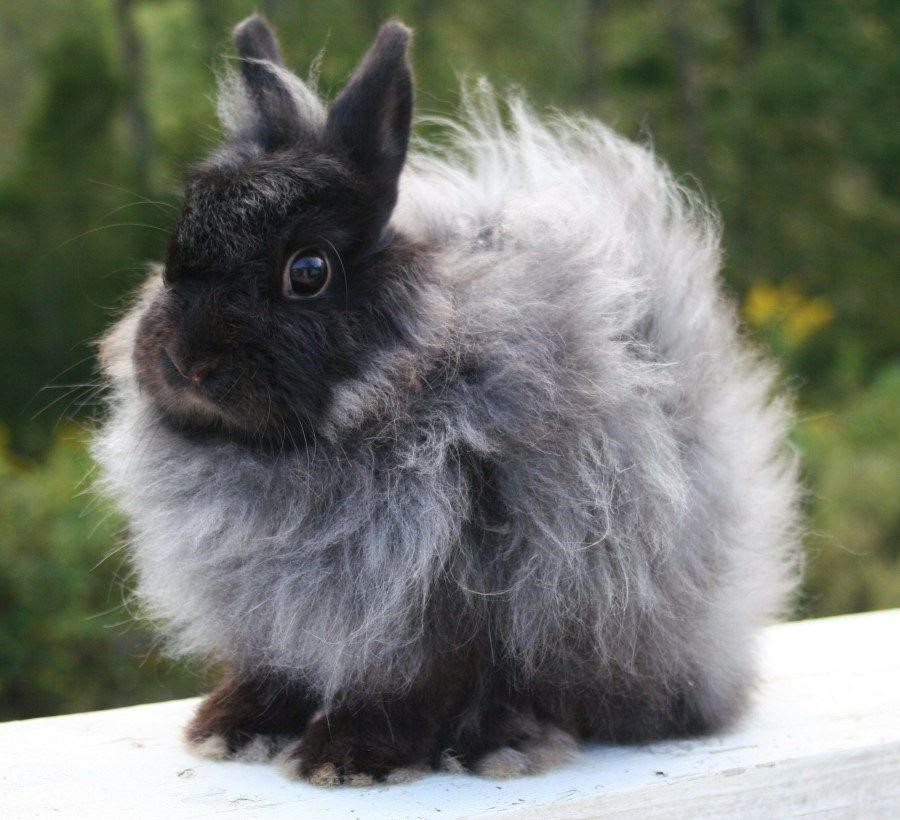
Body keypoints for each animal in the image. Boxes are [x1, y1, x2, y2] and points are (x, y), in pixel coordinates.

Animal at [93, 14, 801, 786]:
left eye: (308, 272)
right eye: (173, 255)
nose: (188, 362)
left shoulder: (446, 596)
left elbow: (416, 682)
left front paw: (348, 759)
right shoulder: (274, 616)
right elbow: (276, 668)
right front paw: (231, 728)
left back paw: (496, 744)